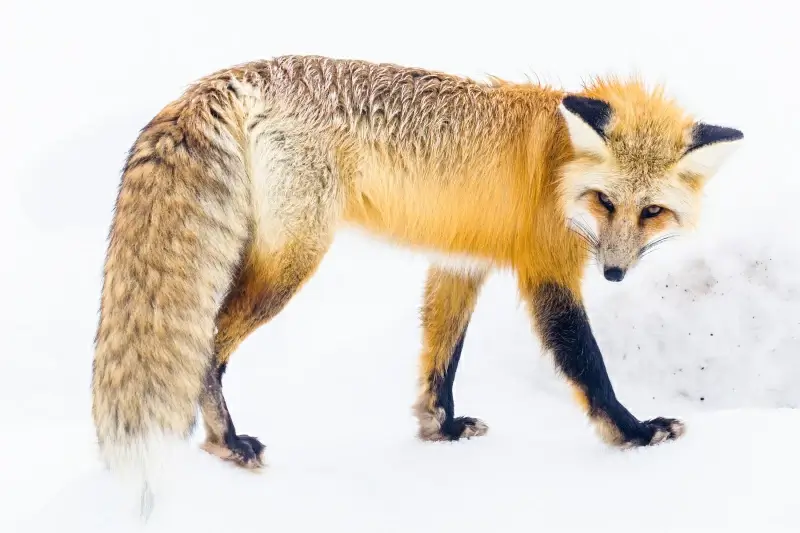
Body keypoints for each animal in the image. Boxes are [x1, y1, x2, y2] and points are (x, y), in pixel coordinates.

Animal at [91, 55, 743, 512]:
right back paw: (225, 442)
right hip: (293, 261)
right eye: (605, 201)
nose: (612, 272)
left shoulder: (460, 263)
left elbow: (440, 360)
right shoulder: (547, 272)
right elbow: (588, 365)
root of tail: (230, 76)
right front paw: (633, 434)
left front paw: (441, 428)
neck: (557, 166)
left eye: (652, 212)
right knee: (208, 346)